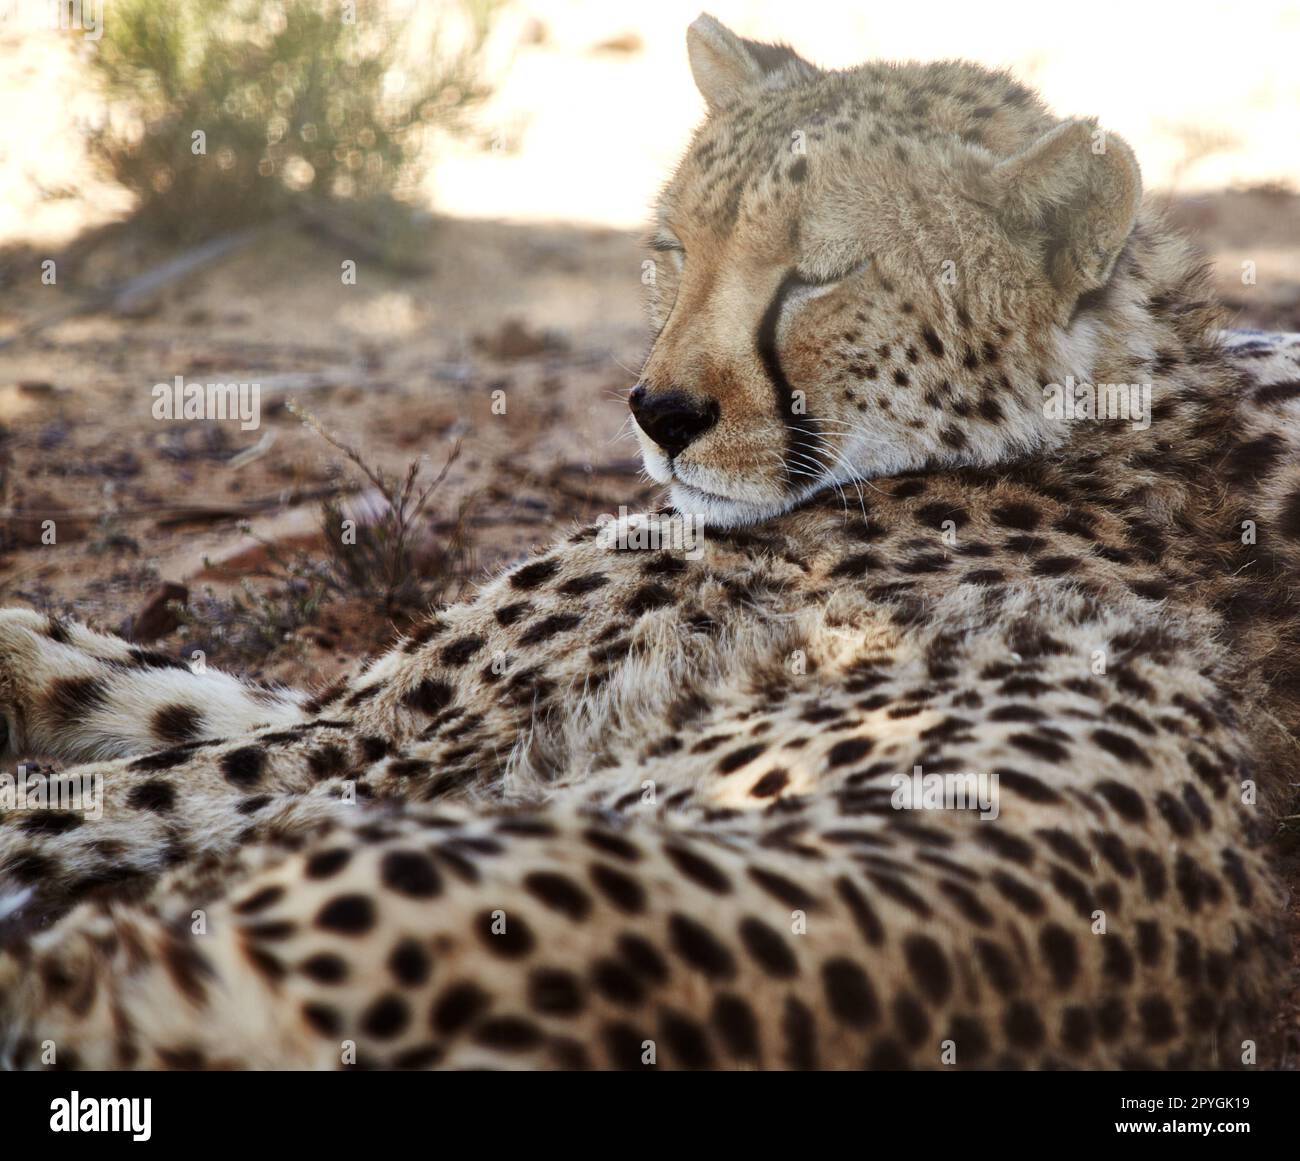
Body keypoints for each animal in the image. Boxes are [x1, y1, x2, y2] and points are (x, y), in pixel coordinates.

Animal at [1, 13, 1299, 1071]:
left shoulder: (375, 753)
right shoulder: (364, 717)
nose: (660, 413)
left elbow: (84, 784)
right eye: (677, 246)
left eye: (815, 278)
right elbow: (147, 683)